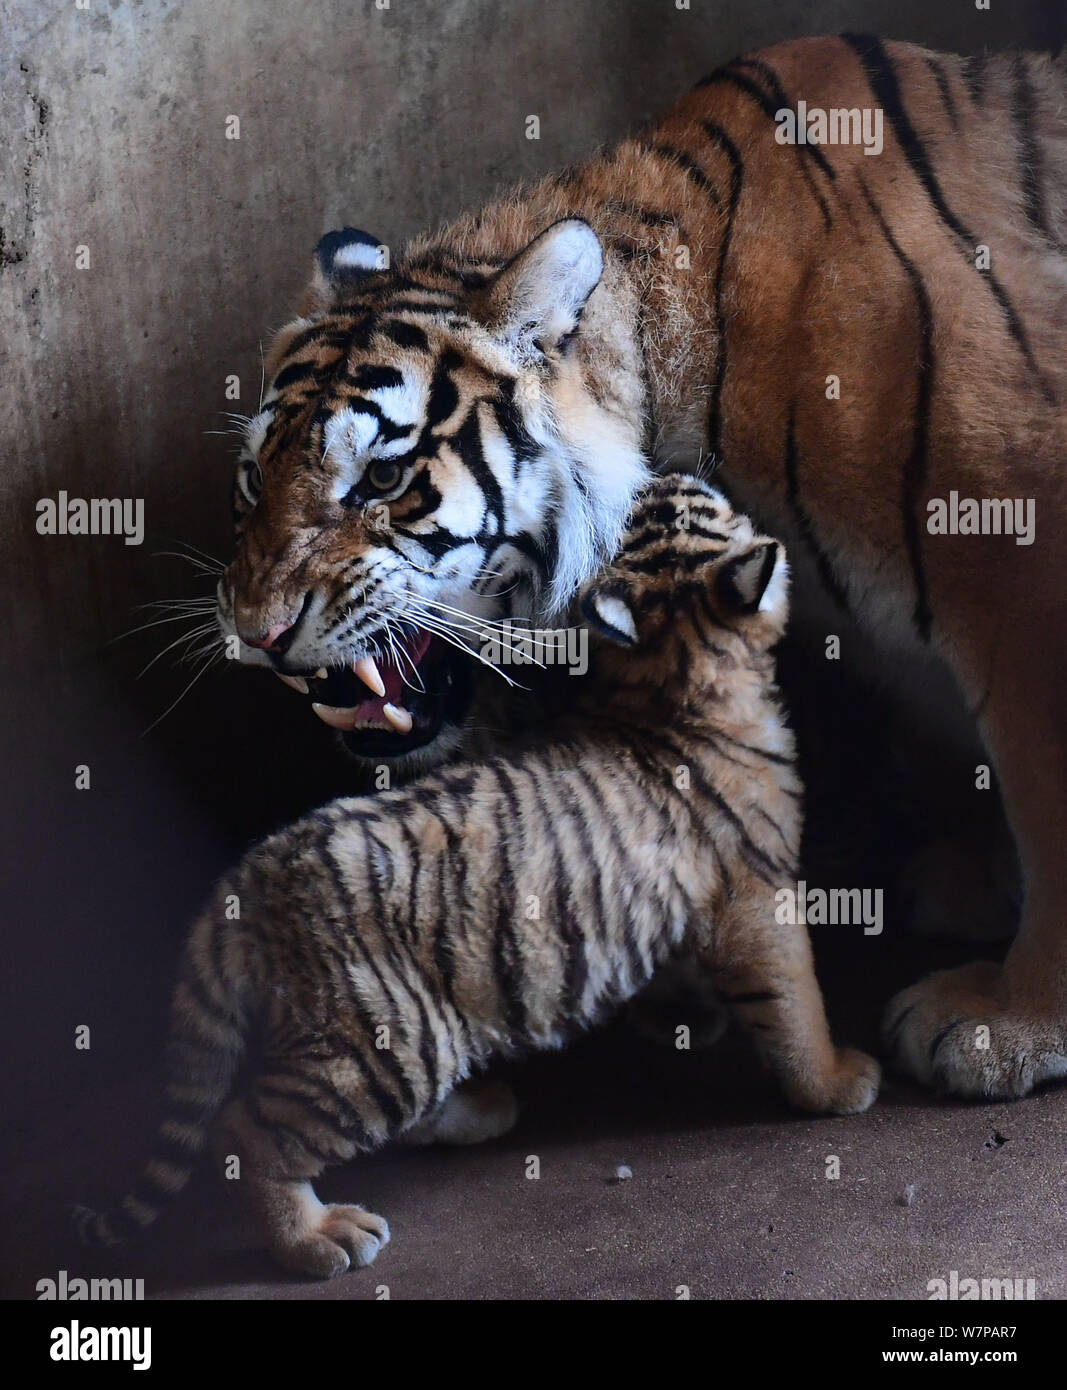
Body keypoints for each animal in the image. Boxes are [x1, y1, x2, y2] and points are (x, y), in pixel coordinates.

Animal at [76, 477, 879, 1278]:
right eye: (694, 503)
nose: (664, 473)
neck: (661, 686)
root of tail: (250, 876)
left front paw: (682, 1019)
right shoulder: (758, 894)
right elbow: (794, 1003)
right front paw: (837, 1082)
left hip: (404, 1039)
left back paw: (484, 1113)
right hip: (377, 1042)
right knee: (249, 1132)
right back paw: (319, 1238)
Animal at [214, 35, 1067, 1101]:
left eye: (381, 477)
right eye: (255, 478)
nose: (255, 634)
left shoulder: (1021, 544)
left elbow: (1042, 789)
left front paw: (1010, 1023)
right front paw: (979, 882)